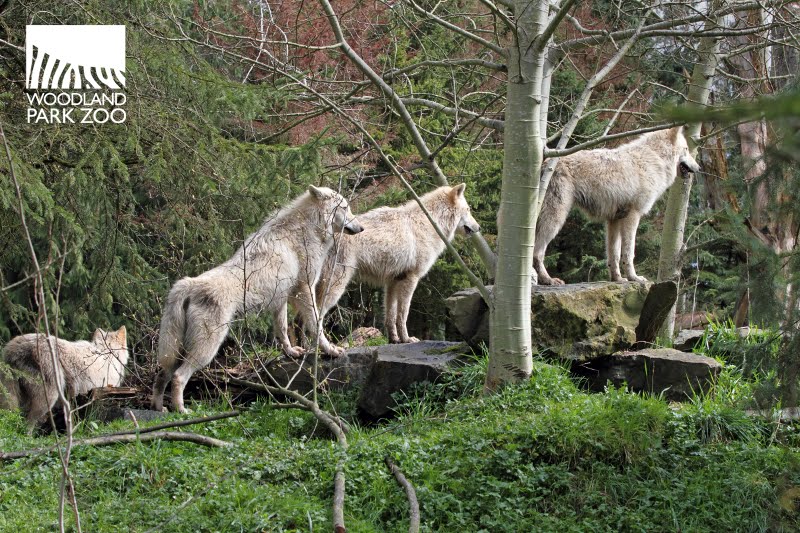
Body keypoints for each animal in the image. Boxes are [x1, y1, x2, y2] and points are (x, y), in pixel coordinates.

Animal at [152, 186, 363, 413]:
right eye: (345, 208)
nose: (362, 228)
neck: (308, 228)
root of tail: (188, 284)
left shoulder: (280, 299)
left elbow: (282, 330)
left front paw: (291, 352)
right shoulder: (305, 290)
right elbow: (316, 326)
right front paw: (330, 349)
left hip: (175, 350)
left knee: (162, 375)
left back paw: (159, 409)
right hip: (206, 349)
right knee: (178, 376)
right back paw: (181, 410)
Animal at [314, 184, 480, 354]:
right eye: (468, 209)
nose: (479, 227)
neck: (429, 224)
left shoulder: (393, 281)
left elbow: (391, 315)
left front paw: (394, 340)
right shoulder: (411, 278)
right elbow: (403, 314)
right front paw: (406, 339)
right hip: (336, 286)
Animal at [533, 126, 700, 285]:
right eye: (686, 149)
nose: (699, 168)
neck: (654, 158)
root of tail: (544, 163)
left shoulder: (614, 220)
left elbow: (614, 255)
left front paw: (618, 279)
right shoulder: (633, 215)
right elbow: (629, 252)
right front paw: (634, 278)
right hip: (556, 219)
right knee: (537, 252)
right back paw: (548, 280)